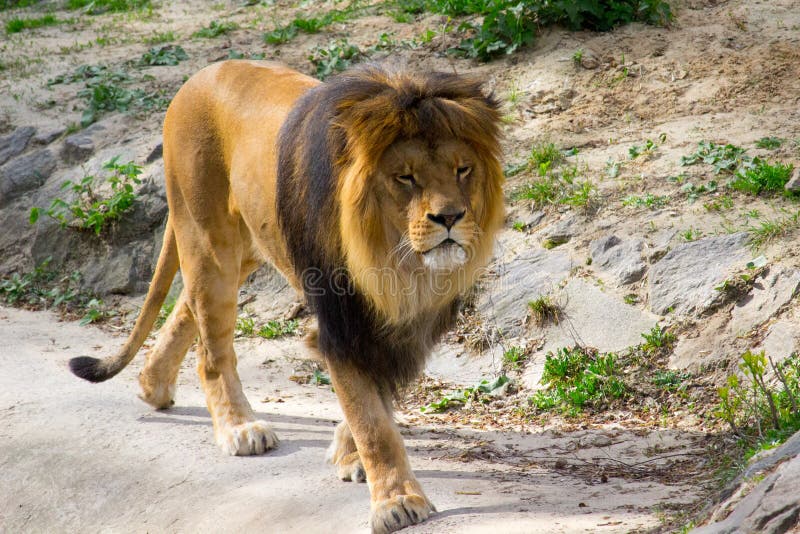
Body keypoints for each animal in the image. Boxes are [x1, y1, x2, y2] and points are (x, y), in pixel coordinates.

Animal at [68, 61, 504, 533]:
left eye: (463, 170)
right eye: (405, 177)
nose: (450, 217)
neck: (395, 262)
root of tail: (198, 75)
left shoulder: (400, 324)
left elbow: (375, 401)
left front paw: (349, 456)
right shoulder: (341, 322)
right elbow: (373, 423)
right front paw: (396, 501)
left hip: (250, 245)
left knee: (185, 307)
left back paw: (152, 384)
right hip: (209, 242)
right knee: (212, 352)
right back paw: (238, 428)